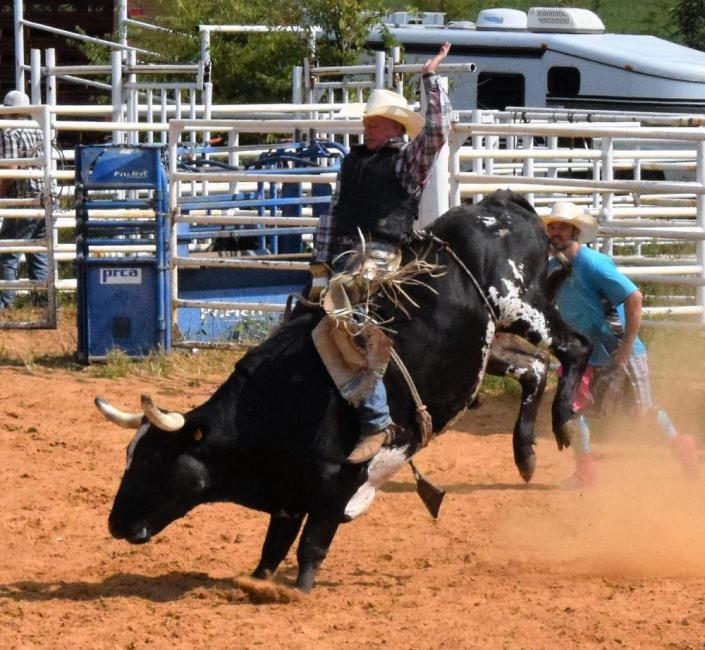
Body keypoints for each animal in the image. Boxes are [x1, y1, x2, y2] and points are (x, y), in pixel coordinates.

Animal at [96, 190, 590, 592]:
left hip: (522, 305)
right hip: (489, 346)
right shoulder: (287, 496)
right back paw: (526, 455)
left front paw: (296, 591)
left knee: (575, 349)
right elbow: (274, 546)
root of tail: (500, 204)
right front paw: (257, 580)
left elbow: (312, 544)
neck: (278, 405)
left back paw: (563, 422)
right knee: (534, 368)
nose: (116, 523)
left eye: (153, 459)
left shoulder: (338, 484)